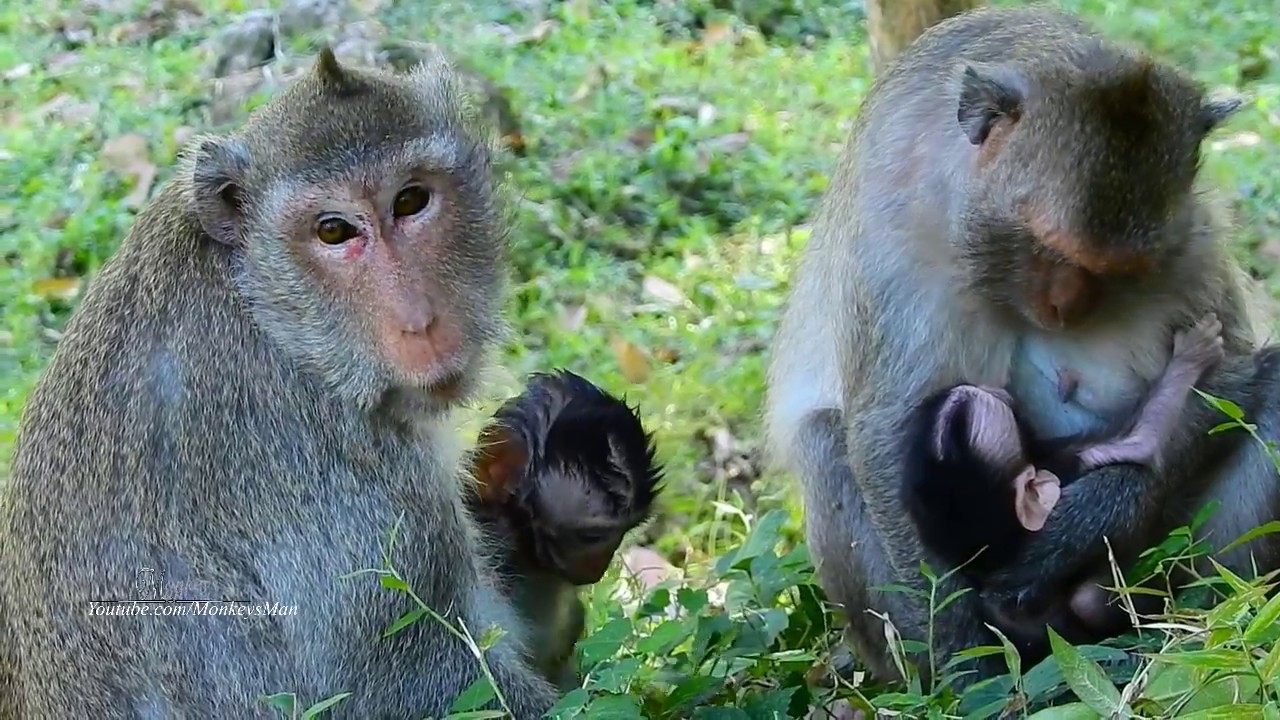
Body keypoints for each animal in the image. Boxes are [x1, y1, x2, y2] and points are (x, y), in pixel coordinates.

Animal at [0, 49, 563, 718]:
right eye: (333, 231)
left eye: (411, 200)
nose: (420, 320)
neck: (265, 307)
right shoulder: (330, 474)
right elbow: (421, 682)